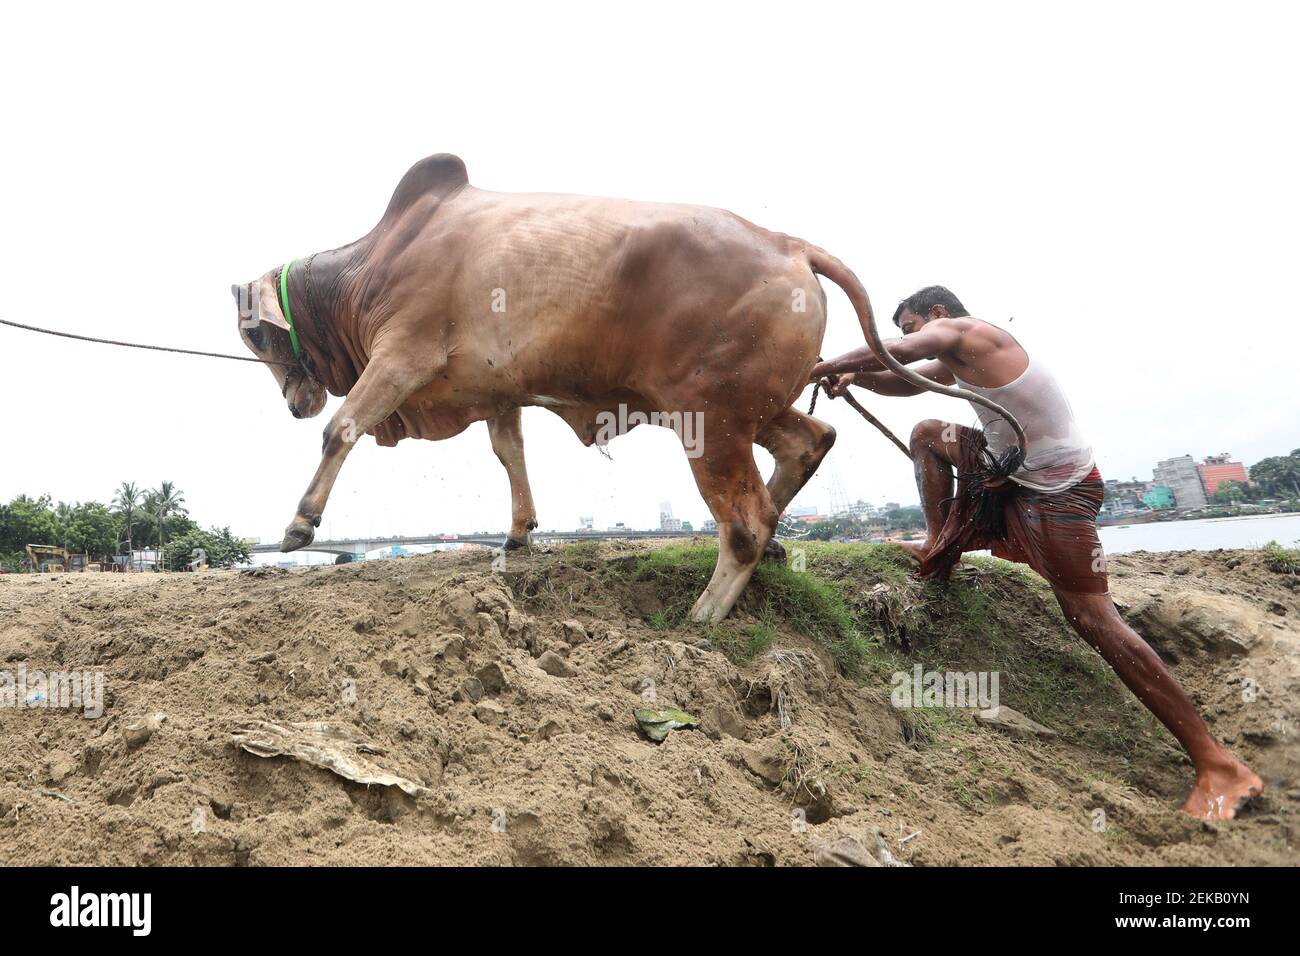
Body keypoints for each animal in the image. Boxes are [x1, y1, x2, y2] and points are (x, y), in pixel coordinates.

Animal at [233, 154, 882, 622]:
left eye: (255, 335)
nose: (293, 404)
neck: (367, 269)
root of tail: (791, 245)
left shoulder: (401, 356)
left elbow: (341, 428)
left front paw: (300, 524)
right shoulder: (497, 391)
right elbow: (509, 454)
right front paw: (518, 536)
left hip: (710, 420)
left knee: (746, 523)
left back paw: (700, 618)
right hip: (749, 409)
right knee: (810, 442)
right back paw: (773, 545)